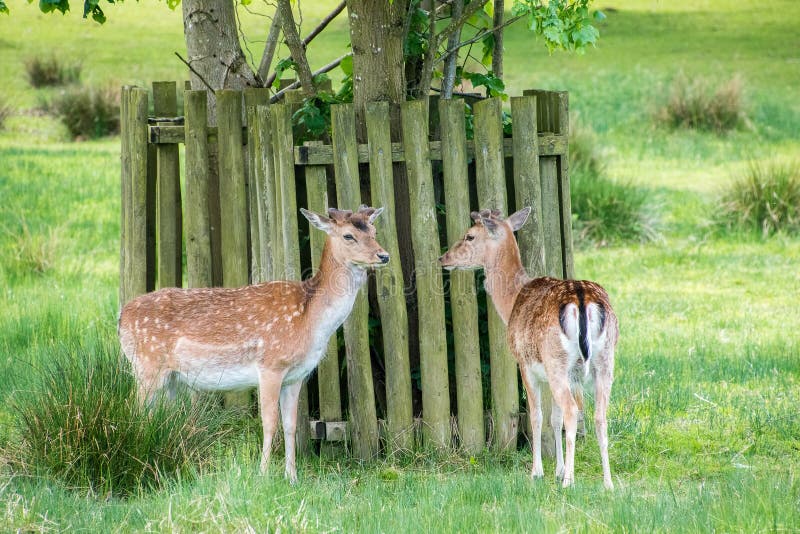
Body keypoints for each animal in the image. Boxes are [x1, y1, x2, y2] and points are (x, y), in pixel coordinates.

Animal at [118, 205, 389, 483]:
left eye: (374, 231)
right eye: (348, 236)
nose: (384, 255)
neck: (309, 320)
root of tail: (121, 317)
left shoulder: (296, 376)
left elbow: (291, 425)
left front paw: (292, 478)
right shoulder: (271, 364)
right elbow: (269, 422)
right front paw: (263, 474)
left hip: (168, 378)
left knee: (160, 415)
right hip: (147, 365)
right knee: (135, 411)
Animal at [439, 208, 618, 489]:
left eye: (469, 236)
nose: (443, 258)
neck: (511, 301)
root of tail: (582, 300)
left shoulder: (525, 364)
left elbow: (537, 416)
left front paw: (539, 472)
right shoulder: (564, 375)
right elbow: (554, 419)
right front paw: (557, 469)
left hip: (556, 360)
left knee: (572, 410)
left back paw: (569, 482)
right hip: (605, 360)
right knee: (600, 416)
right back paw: (608, 484)